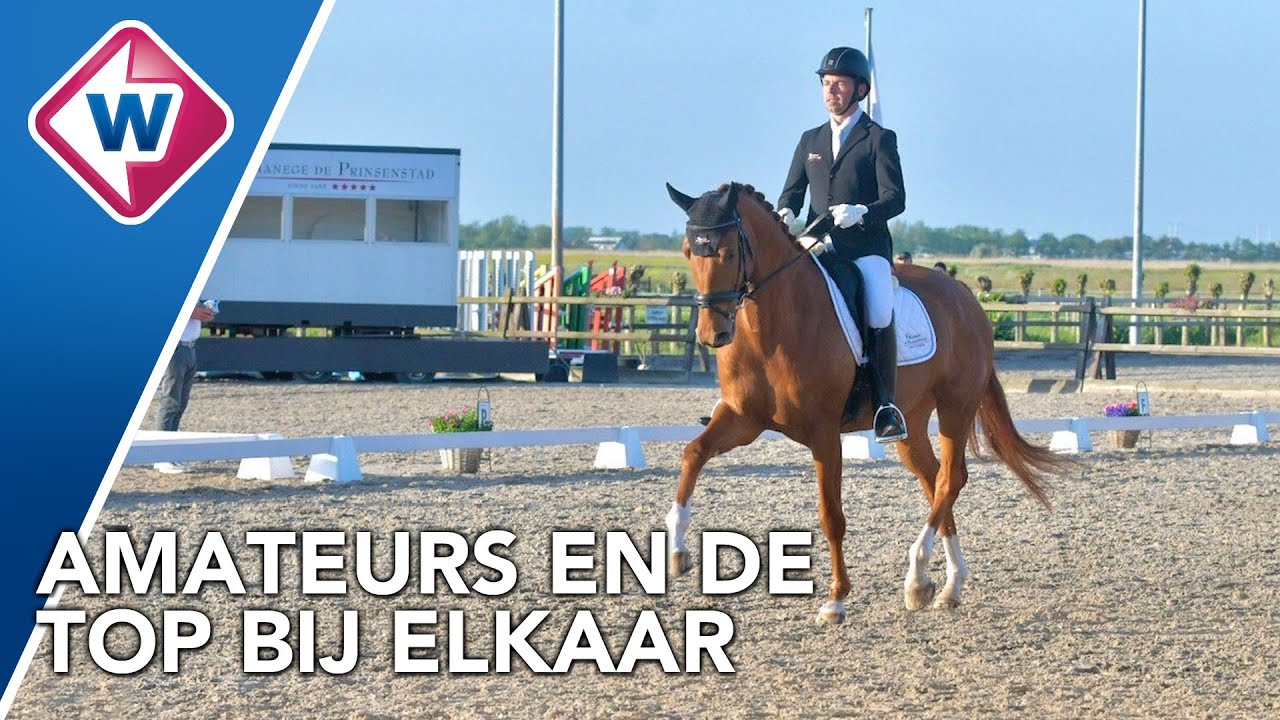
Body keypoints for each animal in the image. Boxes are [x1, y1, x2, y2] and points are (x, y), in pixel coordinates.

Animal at [664, 181, 1074, 623]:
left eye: (729, 253)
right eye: (688, 252)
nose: (712, 335)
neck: (772, 327)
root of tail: (965, 297)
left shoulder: (824, 433)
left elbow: (831, 515)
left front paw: (836, 599)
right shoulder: (743, 418)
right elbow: (693, 453)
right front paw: (678, 550)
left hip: (956, 407)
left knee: (950, 479)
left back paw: (917, 576)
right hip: (911, 420)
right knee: (935, 481)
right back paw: (947, 585)